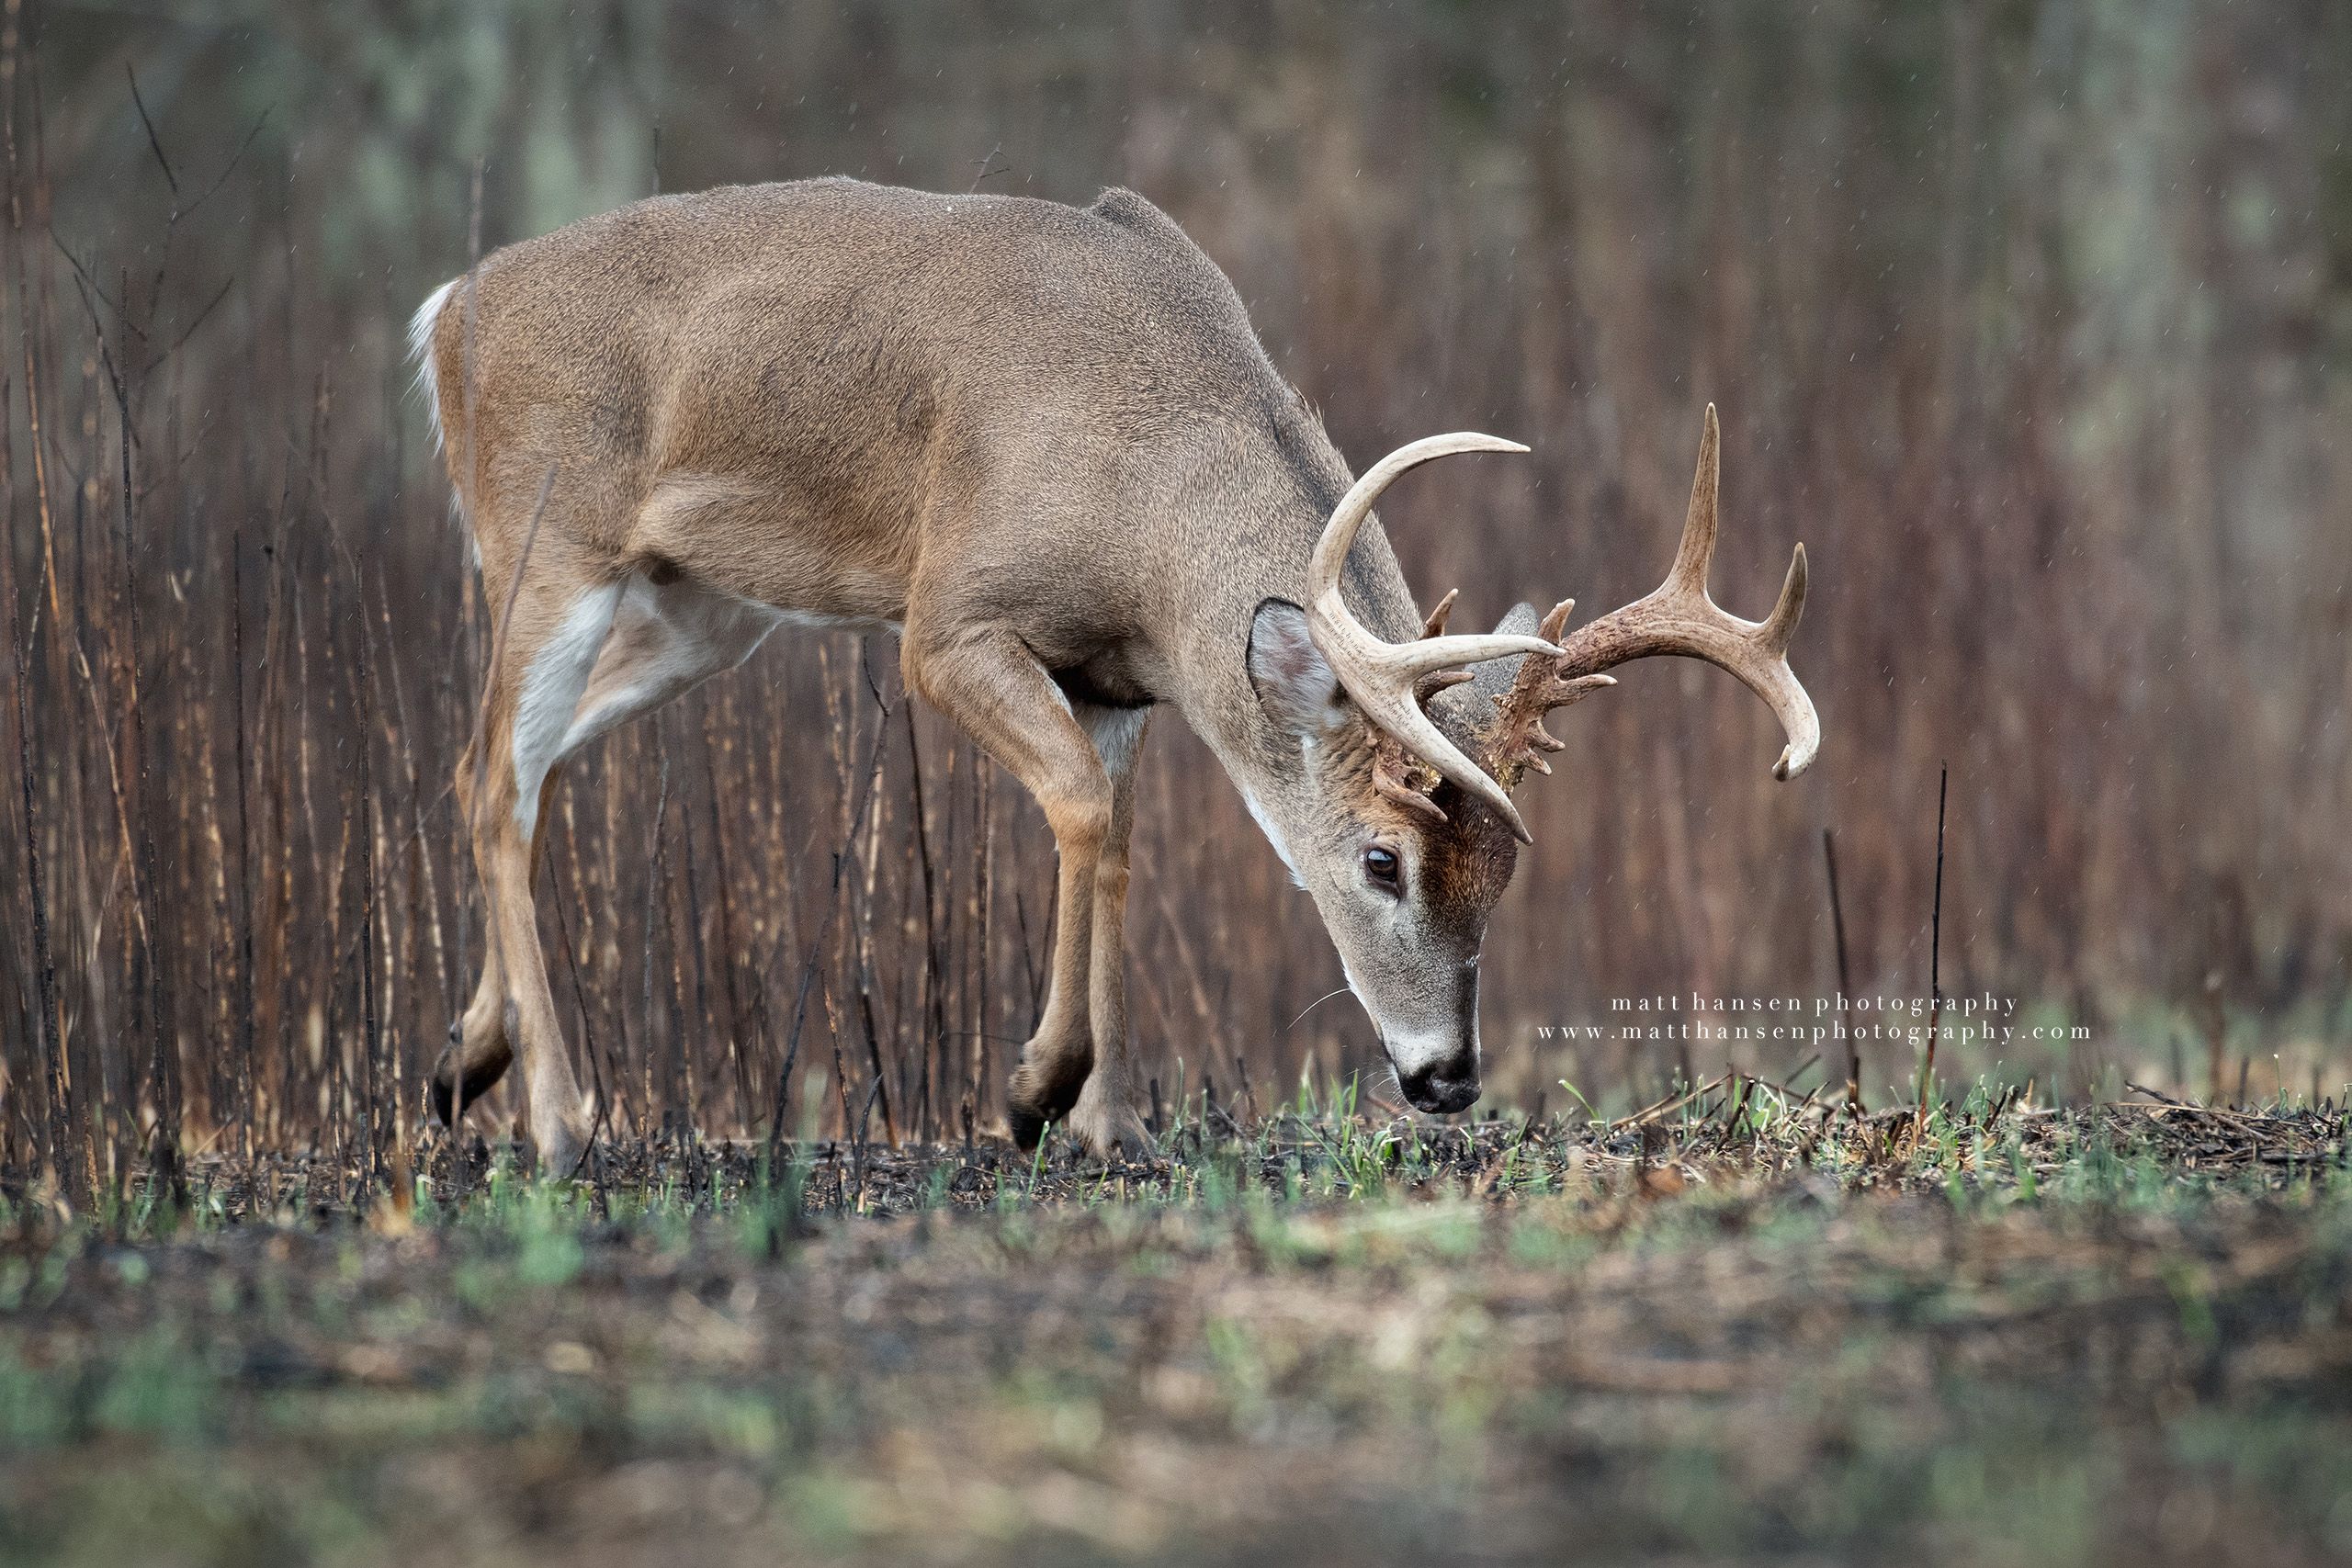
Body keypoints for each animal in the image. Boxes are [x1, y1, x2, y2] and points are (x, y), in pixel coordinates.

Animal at [411, 178, 1817, 1174]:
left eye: (1507, 868)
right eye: (1381, 860)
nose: (1447, 1079)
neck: (1148, 499)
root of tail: (446, 311)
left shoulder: (1118, 683)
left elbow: (1118, 841)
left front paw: (1107, 1119)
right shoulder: (952, 616)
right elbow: (1082, 809)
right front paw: (1034, 1091)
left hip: (704, 606)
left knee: (517, 766)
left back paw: (458, 1063)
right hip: (543, 539)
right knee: (487, 771)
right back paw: (557, 1121)